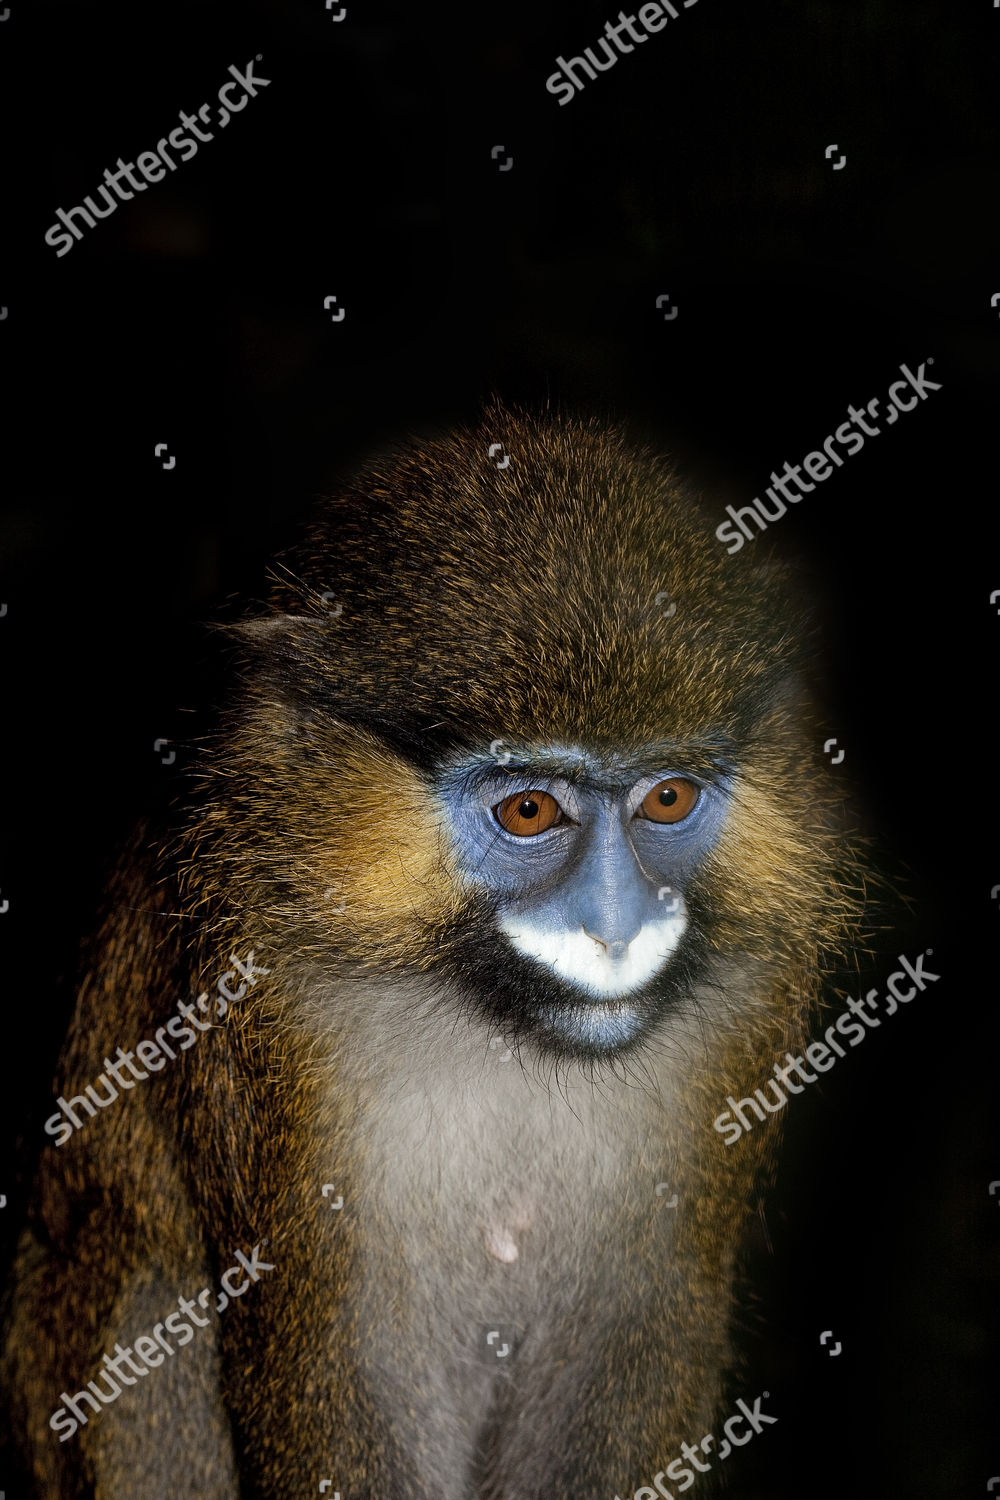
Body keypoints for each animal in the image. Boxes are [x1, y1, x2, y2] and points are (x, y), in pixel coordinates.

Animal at [2, 400, 868, 1498]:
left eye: (667, 798)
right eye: (530, 810)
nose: (615, 926)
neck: (489, 1018)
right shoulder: (261, 1001)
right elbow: (333, 1365)